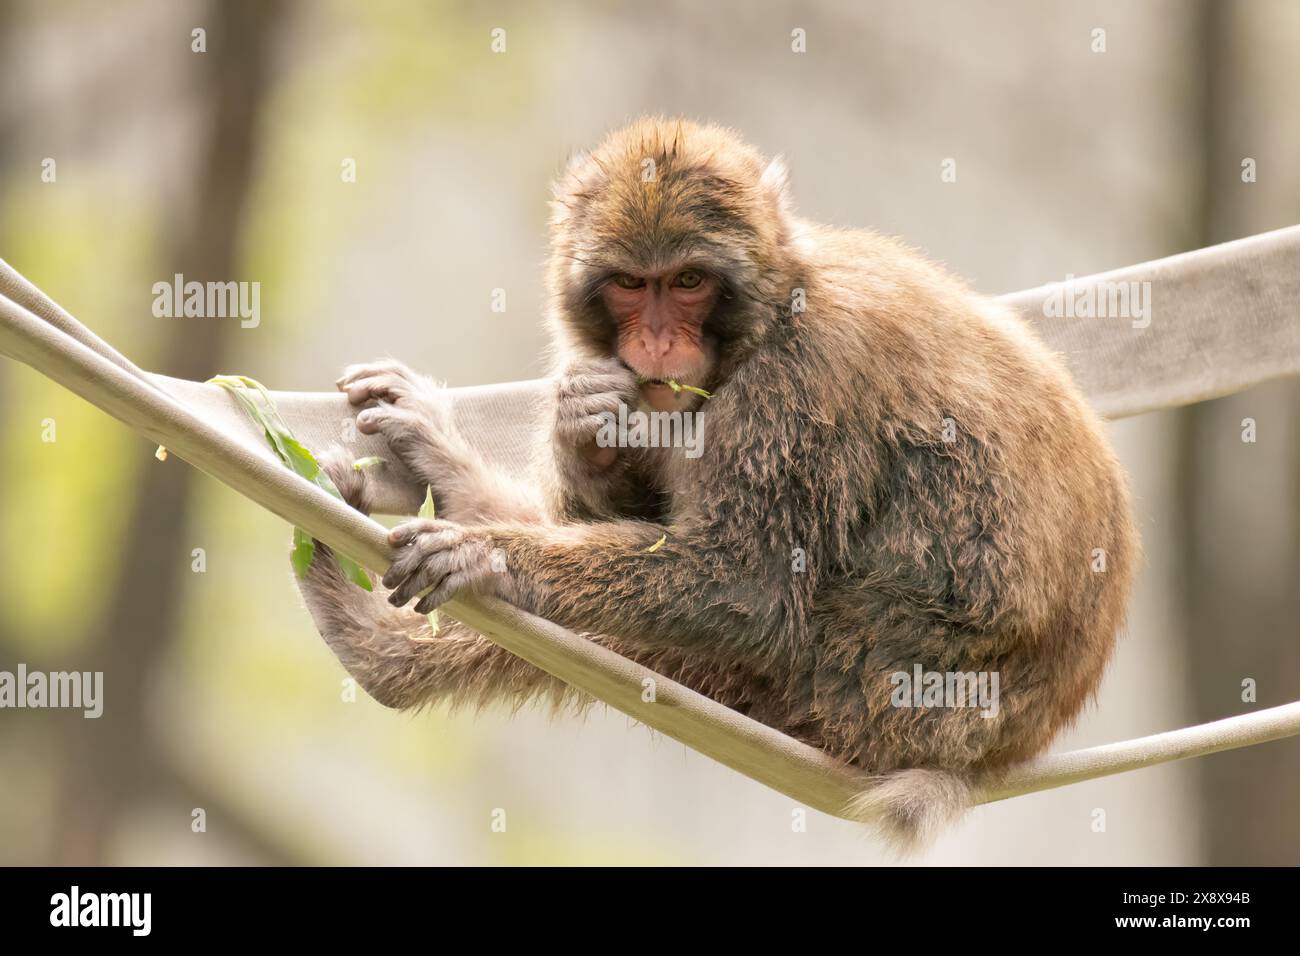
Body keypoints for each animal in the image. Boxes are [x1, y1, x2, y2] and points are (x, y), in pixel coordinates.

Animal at [296, 116, 1138, 850]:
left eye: (690, 281)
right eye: (631, 284)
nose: (658, 342)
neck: (771, 317)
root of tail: (1005, 748)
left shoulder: (797, 385)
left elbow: (747, 589)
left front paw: (491, 557)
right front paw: (585, 433)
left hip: (887, 692)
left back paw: (383, 652)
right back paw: (439, 466)